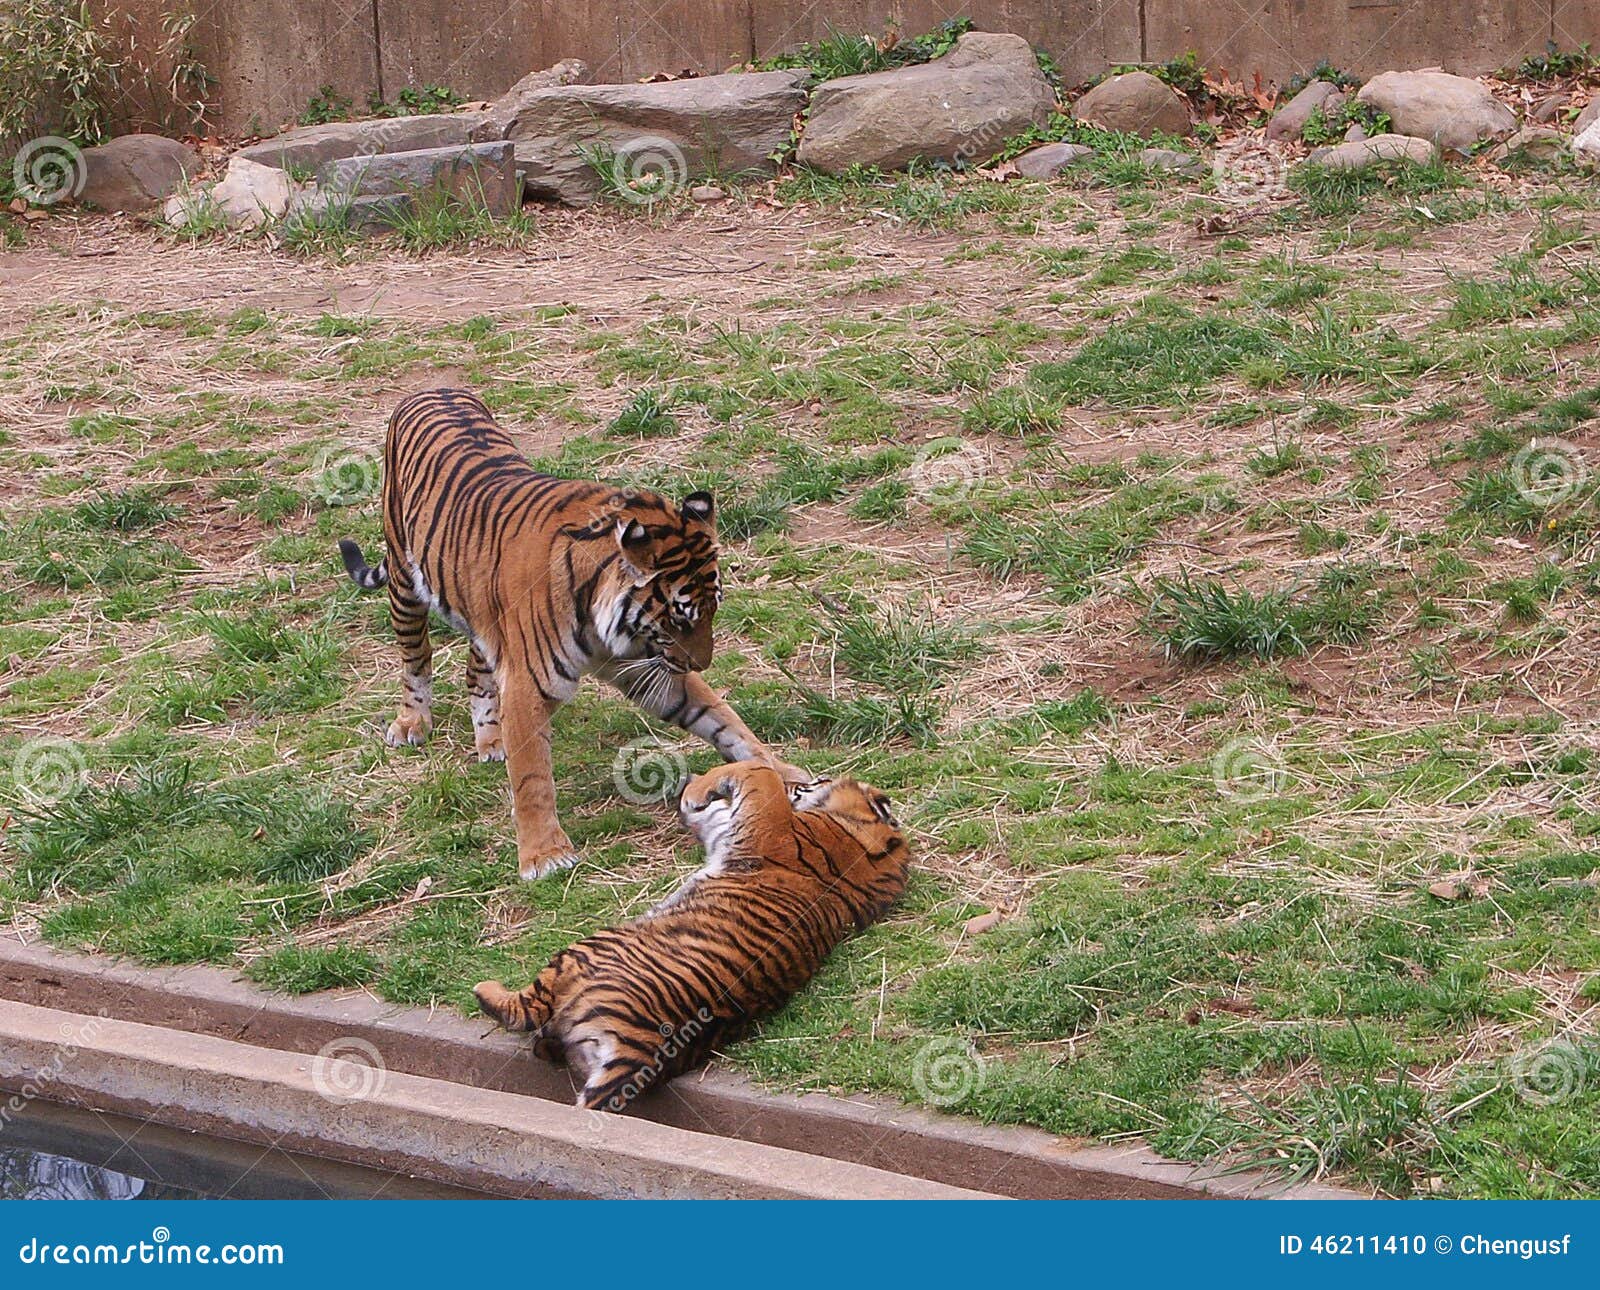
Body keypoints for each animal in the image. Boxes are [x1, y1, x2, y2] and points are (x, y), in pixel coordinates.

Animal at [337, 387, 795, 880]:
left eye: (712, 613)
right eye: (681, 619)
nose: (701, 662)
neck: (603, 621)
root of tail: (433, 388)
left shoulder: (643, 665)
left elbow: (723, 720)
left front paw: (780, 772)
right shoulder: (529, 683)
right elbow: (532, 777)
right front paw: (545, 855)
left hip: (481, 611)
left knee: (476, 670)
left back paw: (490, 739)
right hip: (405, 582)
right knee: (415, 660)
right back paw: (412, 723)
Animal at [473, 760, 909, 1112]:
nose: (811, 778)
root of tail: (644, 1051)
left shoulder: (766, 819)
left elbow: (756, 771)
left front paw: (699, 788)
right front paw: (697, 797)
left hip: (585, 950)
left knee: (526, 1008)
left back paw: (485, 988)